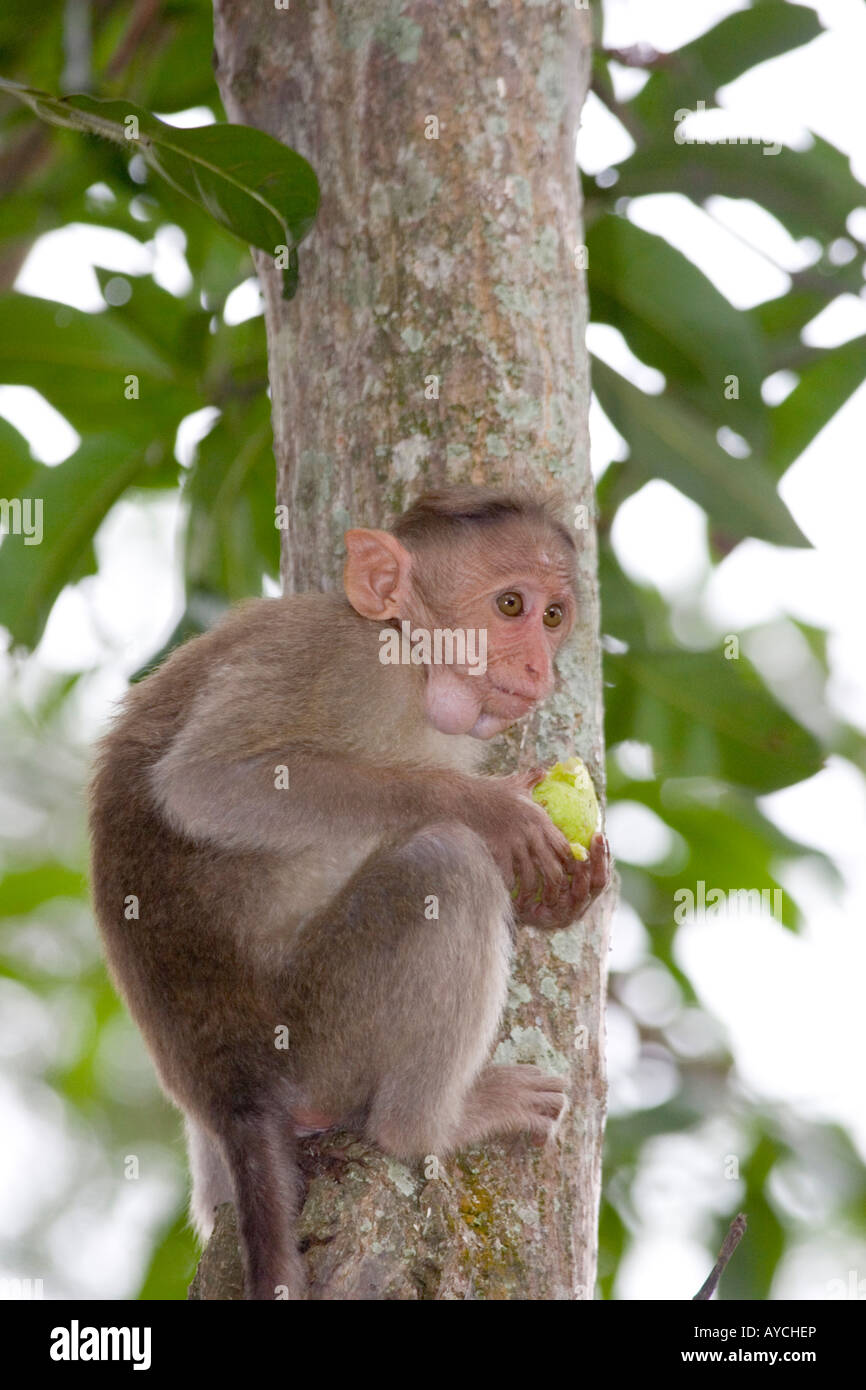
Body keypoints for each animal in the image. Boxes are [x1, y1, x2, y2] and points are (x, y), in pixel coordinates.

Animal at [88, 486, 610, 1300]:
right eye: (512, 605)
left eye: (554, 617)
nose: (538, 666)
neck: (411, 665)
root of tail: (233, 1086)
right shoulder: (339, 664)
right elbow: (204, 783)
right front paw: (484, 807)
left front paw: (560, 898)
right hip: (319, 1039)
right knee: (446, 867)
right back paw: (431, 1125)